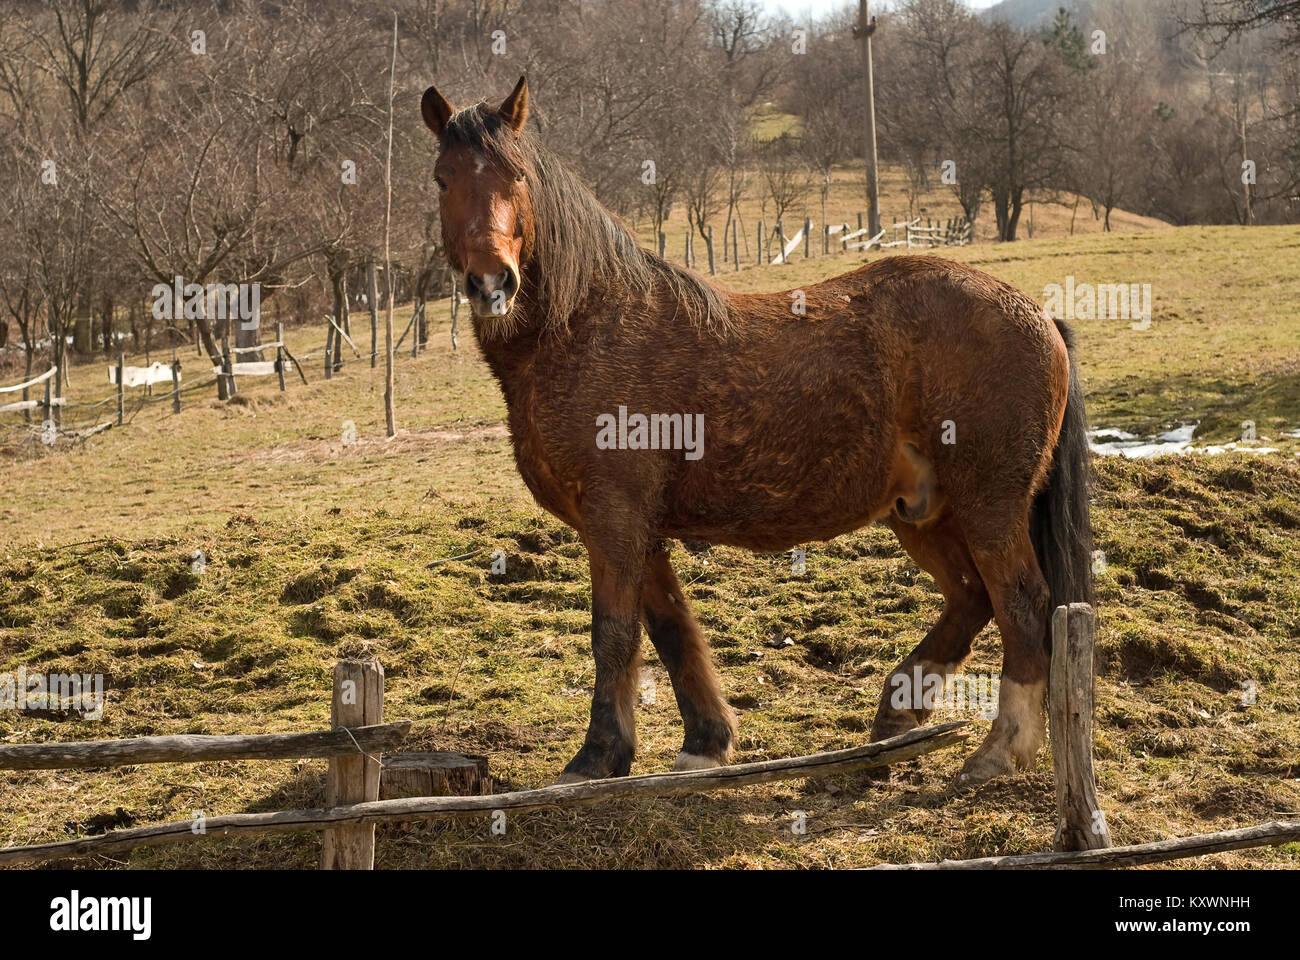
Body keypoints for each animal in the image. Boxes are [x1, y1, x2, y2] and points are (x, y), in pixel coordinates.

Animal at [420, 76, 1093, 786]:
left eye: (517, 178)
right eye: (442, 179)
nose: (492, 280)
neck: (585, 330)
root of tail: (1038, 314)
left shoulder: (614, 521)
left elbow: (614, 633)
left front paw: (598, 756)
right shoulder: (641, 530)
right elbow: (671, 628)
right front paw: (705, 741)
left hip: (989, 506)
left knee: (1022, 604)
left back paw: (997, 750)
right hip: (924, 512)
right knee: (972, 598)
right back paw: (897, 714)